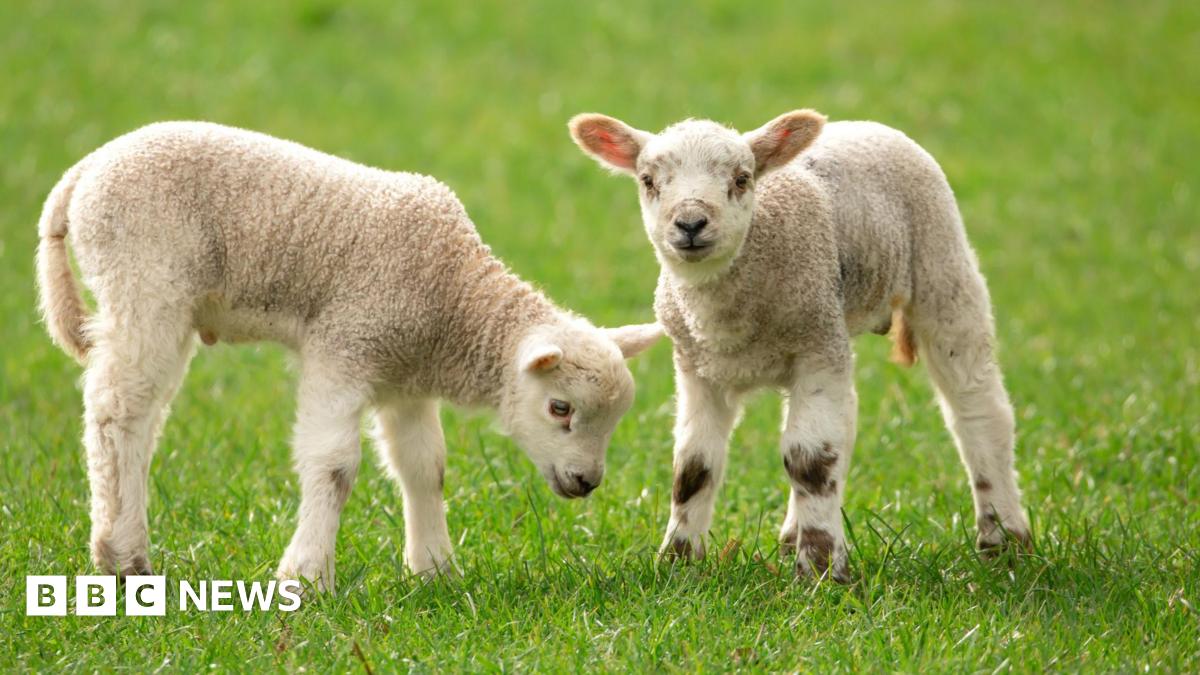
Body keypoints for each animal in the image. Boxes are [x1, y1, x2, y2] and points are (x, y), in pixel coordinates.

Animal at [36, 121, 664, 591]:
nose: (586, 481)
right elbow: (334, 466)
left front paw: (435, 571)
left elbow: (425, 466)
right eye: (560, 408)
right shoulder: (345, 346)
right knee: (120, 411)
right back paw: (123, 556)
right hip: (146, 280)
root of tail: (82, 172)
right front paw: (307, 578)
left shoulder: (405, 376)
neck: (455, 301)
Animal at [569, 110, 1031, 581]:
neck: (725, 319)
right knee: (845, 422)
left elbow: (808, 461)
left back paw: (1005, 541)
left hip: (940, 266)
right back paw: (793, 535)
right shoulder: (698, 367)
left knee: (978, 410)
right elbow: (694, 466)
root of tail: (866, 124)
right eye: (647, 180)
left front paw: (822, 571)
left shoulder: (815, 348)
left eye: (741, 179)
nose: (691, 224)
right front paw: (679, 562)